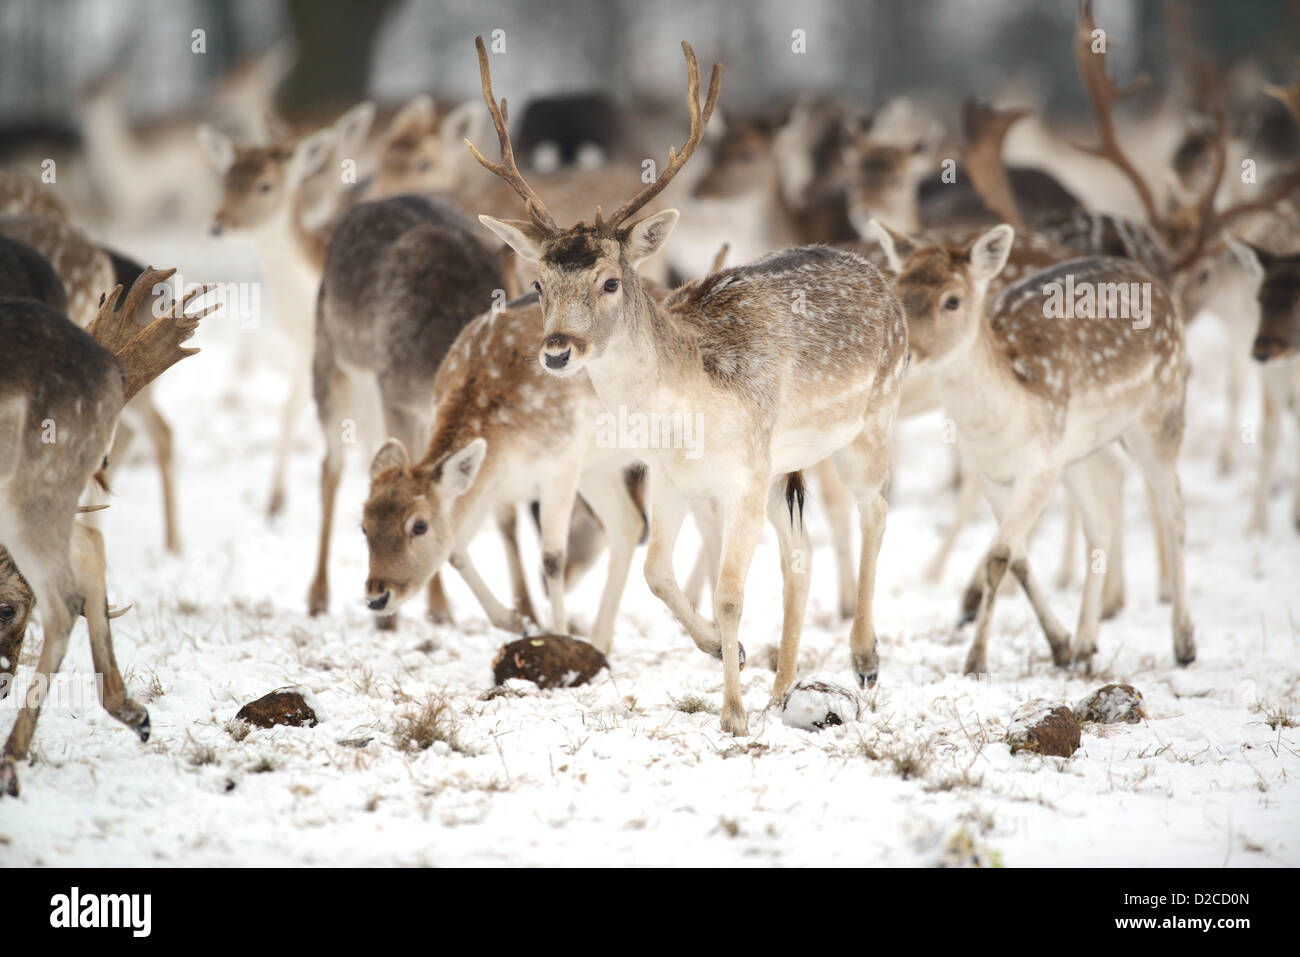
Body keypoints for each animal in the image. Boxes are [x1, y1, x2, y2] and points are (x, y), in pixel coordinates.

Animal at [0, 267, 218, 796]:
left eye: (6, 609)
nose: (0, 683)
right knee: (87, 546)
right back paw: (130, 711)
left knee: (66, 596)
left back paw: (12, 757)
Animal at [362, 292, 648, 652]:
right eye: (364, 526)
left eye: (419, 526)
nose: (376, 596)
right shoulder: (491, 485)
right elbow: (455, 550)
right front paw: (515, 621)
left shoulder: (562, 461)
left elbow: (552, 557)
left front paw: (558, 636)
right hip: (599, 470)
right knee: (628, 524)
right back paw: (599, 643)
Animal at [467, 37, 908, 734]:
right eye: (539, 283)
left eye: (610, 281)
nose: (558, 351)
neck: (689, 410)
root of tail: (880, 277)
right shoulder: (669, 475)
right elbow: (656, 573)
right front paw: (733, 656)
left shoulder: (743, 473)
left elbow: (729, 594)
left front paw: (732, 715)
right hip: (787, 466)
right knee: (800, 555)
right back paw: (781, 690)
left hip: (873, 417)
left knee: (876, 510)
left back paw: (864, 662)